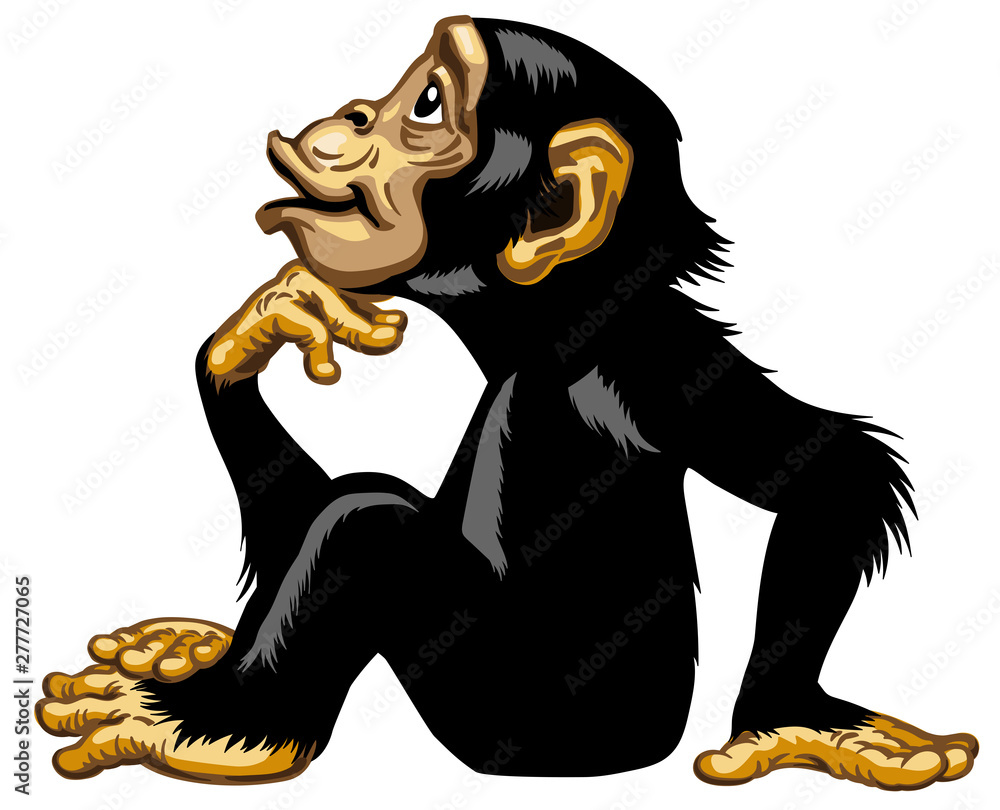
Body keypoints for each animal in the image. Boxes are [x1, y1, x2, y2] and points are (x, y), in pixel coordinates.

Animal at [37, 15, 978, 789]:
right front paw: (264, 325)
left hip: (518, 725)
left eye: (423, 103)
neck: (546, 330)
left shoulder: (648, 368)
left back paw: (216, 728)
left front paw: (788, 723)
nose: (355, 112)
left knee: (370, 523)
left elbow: (829, 469)